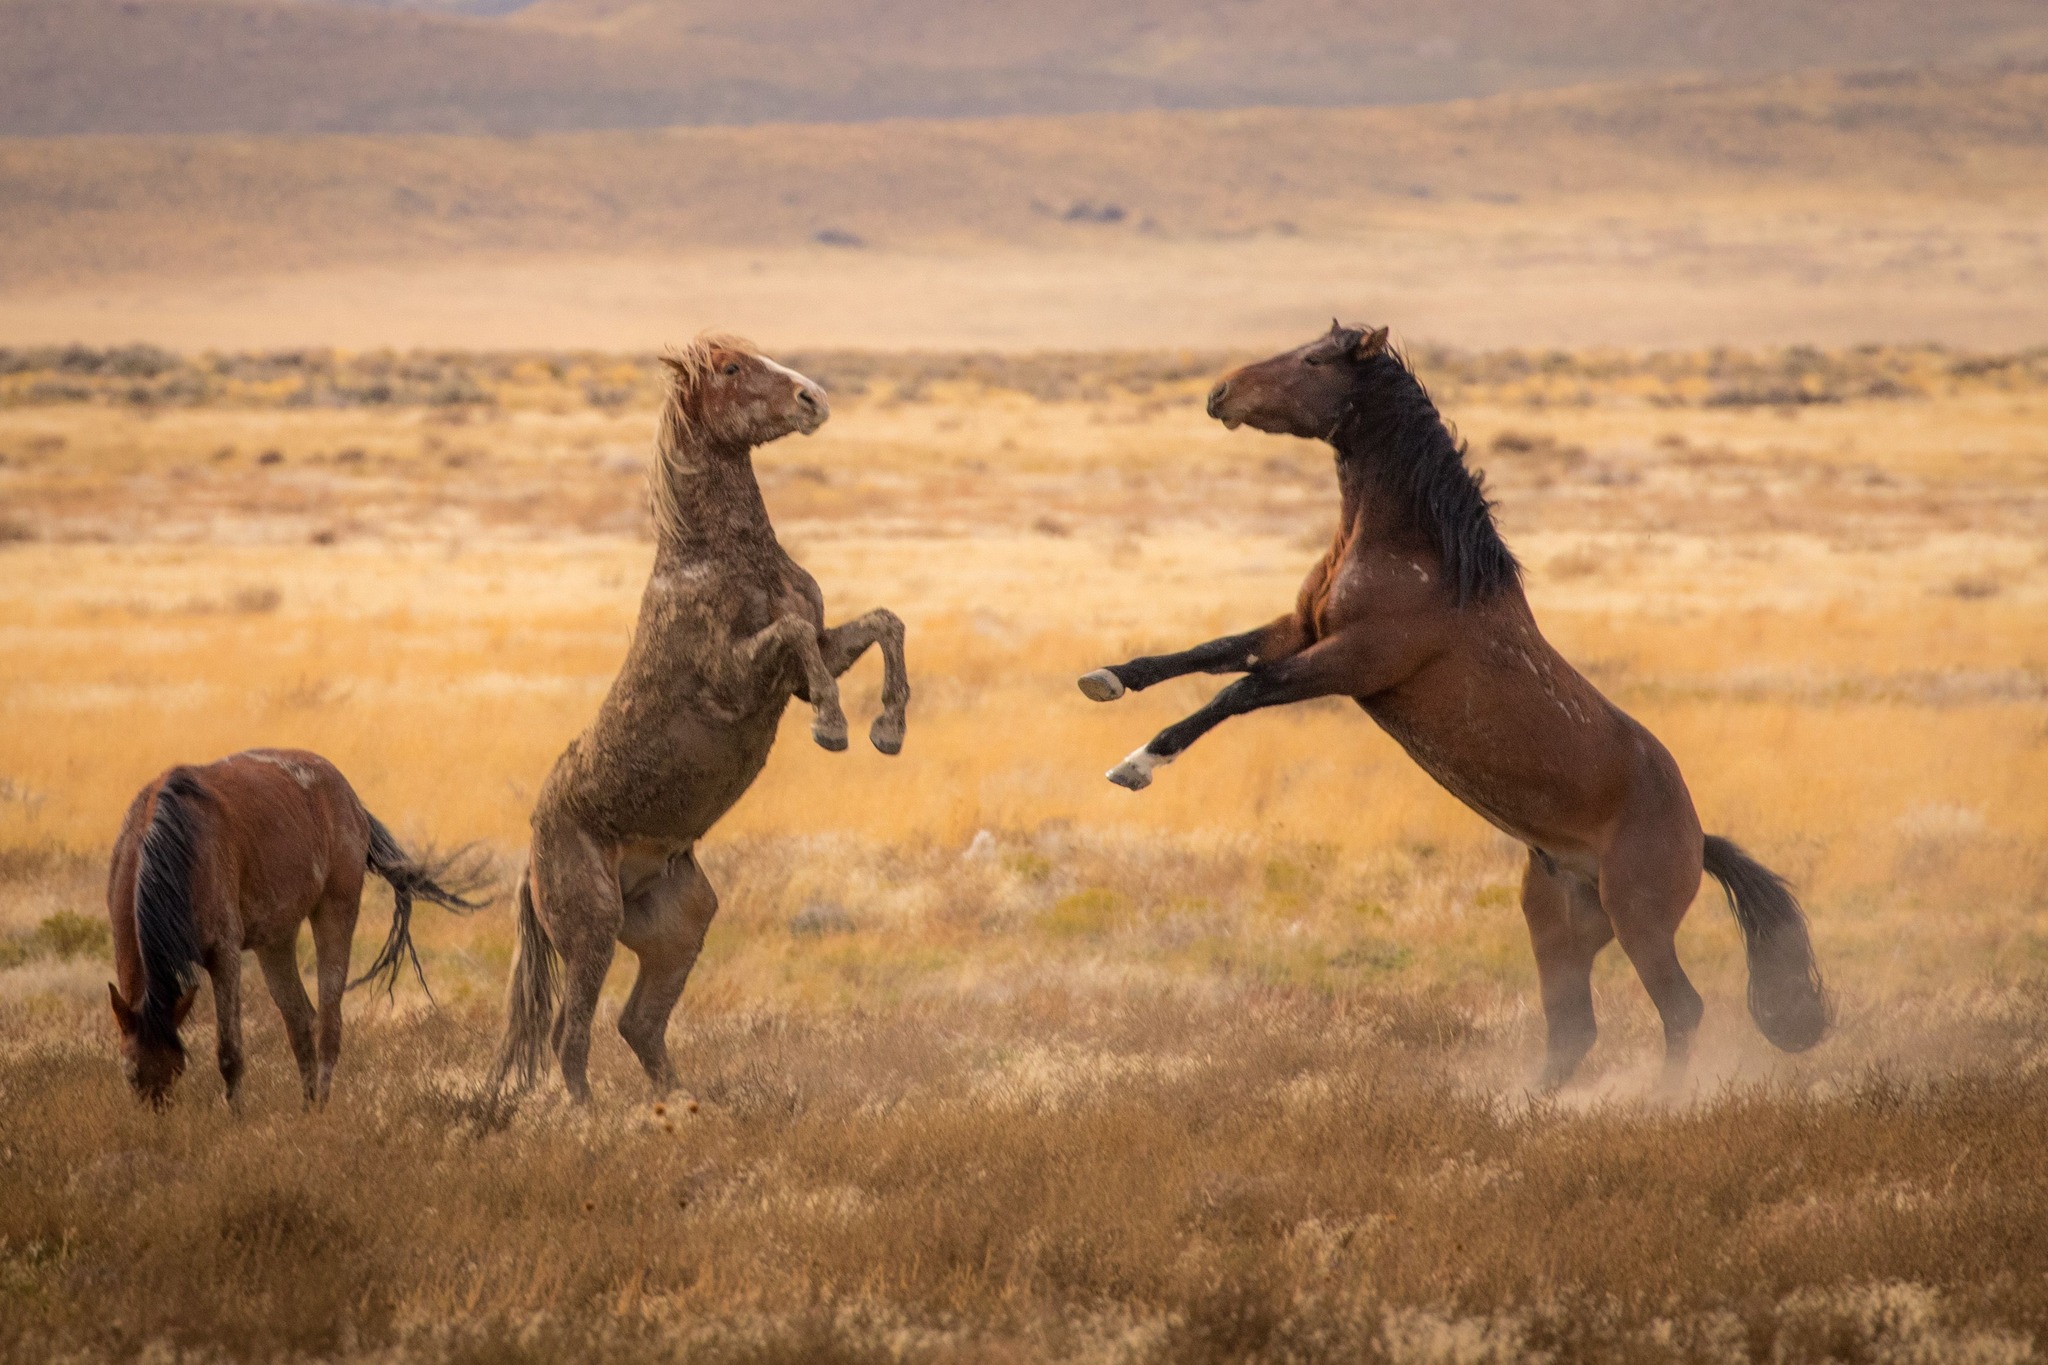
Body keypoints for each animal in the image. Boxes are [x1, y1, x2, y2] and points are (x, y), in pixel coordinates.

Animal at [106, 748, 483, 1107]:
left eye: (177, 1069)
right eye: (130, 1073)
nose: (158, 1114)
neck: (175, 849)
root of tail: (351, 799)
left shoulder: (224, 955)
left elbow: (230, 1053)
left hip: (335, 913)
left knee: (329, 1023)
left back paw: (318, 1112)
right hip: (275, 940)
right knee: (301, 1020)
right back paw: (306, 1105)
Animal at [495, 334, 910, 1104]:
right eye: (731, 368)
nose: (813, 399)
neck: (720, 557)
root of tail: (532, 859)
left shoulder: (815, 658)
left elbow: (883, 622)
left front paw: (888, 729)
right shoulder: (741, 678)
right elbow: (794, 635)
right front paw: (835, 731)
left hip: (681, 924)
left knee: (638, 1023)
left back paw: (683, 1103)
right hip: (591, 930)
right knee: (572, 1034)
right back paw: (592, 1115)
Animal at [1079, 321, 1830, 1089]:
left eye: (1315, 360)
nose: (1218, 392)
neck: (1422, 558)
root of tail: (1699, 836)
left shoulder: (1351, 662)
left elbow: (1239, 689)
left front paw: (1137, 763)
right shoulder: (1300, 631)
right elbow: (1206, 652)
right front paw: (1106, 678)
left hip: (1639, 919)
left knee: (1681, 1011)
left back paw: (1660, 1098)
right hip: (1557, 921)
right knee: (1573, 1028)